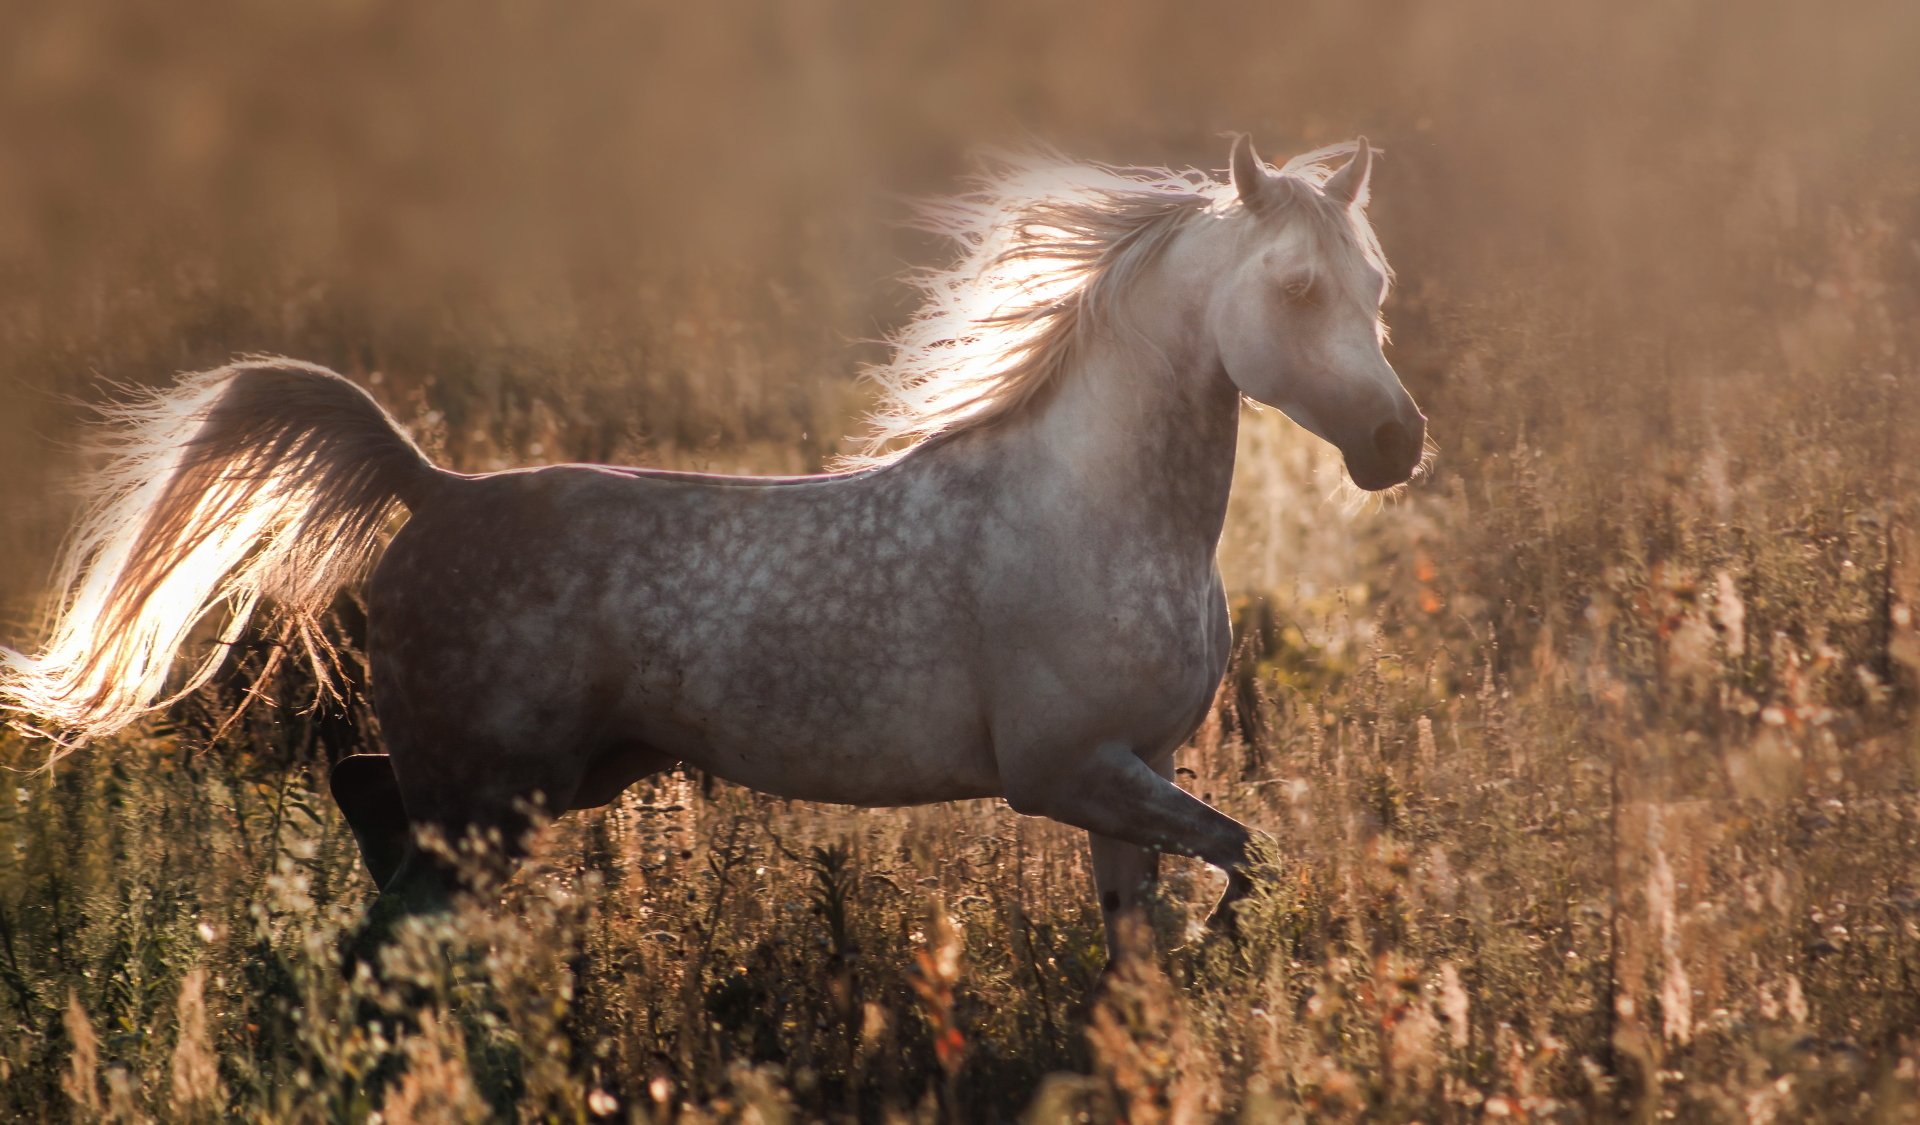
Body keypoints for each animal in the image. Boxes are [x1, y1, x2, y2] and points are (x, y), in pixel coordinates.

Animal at [0, 136, 1425, 969]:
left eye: (1378, 288)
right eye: (1298, 288)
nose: (1396, 444)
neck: (1099, 513)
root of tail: (434, 487)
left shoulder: (1135, 771)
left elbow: (1150, 939)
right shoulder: (1067, 772)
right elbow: (1248, 860)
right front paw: (1238, 950)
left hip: (555, 781)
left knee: (369, 814)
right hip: (495, 791)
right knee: (392, 883)